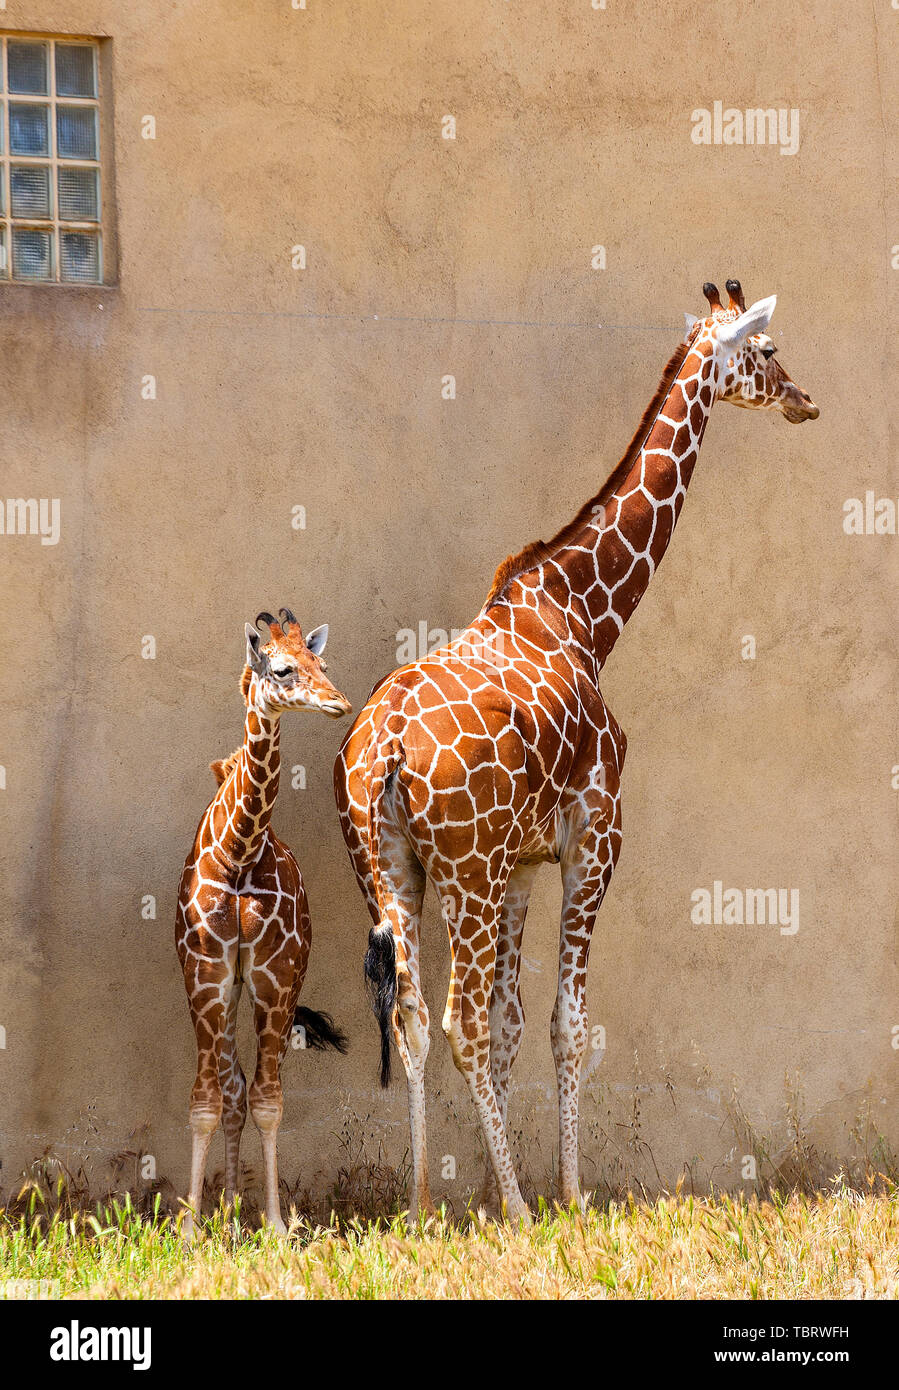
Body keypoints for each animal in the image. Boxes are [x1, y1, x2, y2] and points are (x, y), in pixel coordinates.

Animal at [176, 607, 352, 1240]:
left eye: (321, 663)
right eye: (281, 669)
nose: (339, 703)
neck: (240, 851)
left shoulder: (275, 976)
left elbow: (269, 1101)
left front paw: (275, 1226)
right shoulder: (205, 973)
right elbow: (205, 1102)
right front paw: (188, 1230)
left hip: (266, 984)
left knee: (247, 1088)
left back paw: (234, 1211)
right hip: (225, 988)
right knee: (228, 1088)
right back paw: (224, 1213)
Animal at [334, 281, 818, 1221]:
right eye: (767, 349)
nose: (805, 401)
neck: (586, 617)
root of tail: (384, 752)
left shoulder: (523, 862)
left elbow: (516, 1026)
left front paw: (497, 1192)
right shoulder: (593, 839)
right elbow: (563, 1023)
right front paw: (560, 1194)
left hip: (394, 869)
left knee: (413, 1016)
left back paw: (419, 1204)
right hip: (464, 875)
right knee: (455, 1019)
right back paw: (515, 1213)